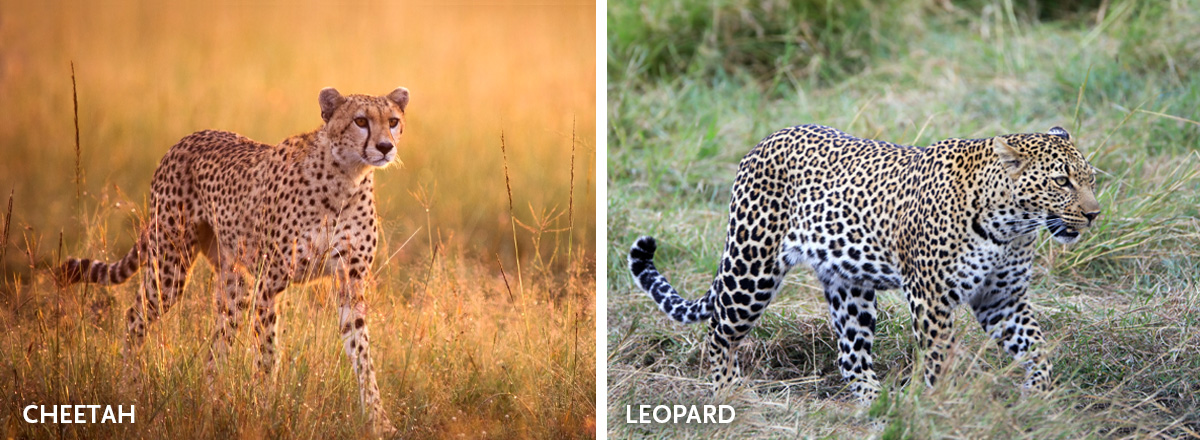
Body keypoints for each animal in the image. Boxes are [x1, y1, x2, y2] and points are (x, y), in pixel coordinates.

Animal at [55, 87, 410, 435]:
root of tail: (187, 138)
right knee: (135, 316)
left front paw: (378, 420)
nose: (385, 147)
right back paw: (129, 388)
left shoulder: (351, 282)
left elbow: (362, 355)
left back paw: (213, 402)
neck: (345, 178)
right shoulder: (269, 283)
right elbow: (268, 355)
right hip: (170, 266)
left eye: (392, 121)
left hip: (234, 286)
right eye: (360, 121)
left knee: (217, 344)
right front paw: (267, 411)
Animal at [629, 124, 1100, 404]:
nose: (1094, 213)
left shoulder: (1002, 299)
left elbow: (1037, 349)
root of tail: (764, 140)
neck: (1011, 225)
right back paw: (729, 394)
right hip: (752, 267)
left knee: (850, 355)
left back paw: (878, 404)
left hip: (849, 286)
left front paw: (1041, 398)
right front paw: (937, 405)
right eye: (1061, 181)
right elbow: (939, 358)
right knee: (718, 332)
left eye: (1091, 178)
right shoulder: (932, 297)